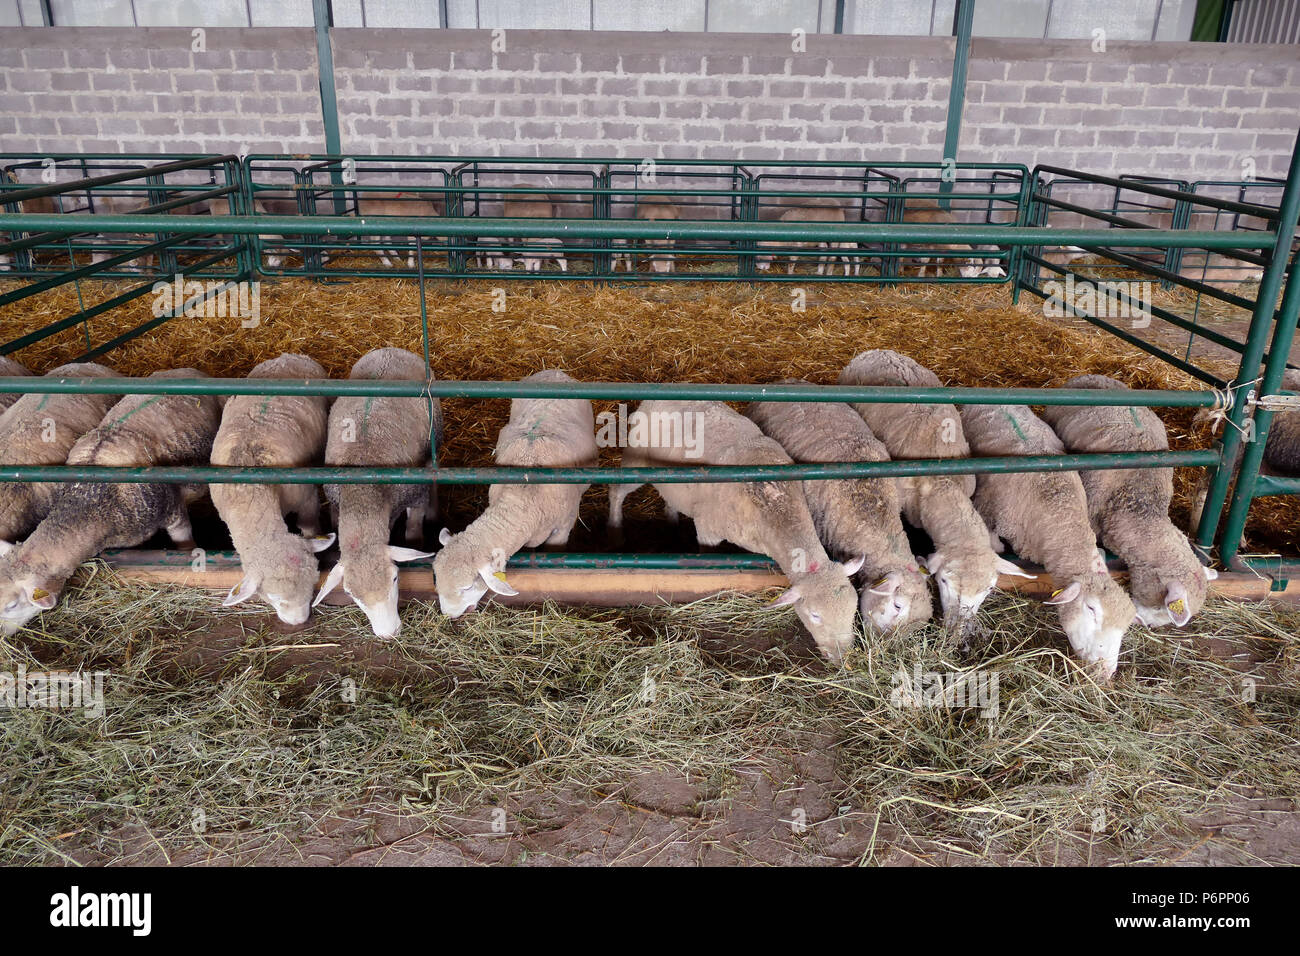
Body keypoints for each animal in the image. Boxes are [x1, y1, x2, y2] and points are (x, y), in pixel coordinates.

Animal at [210, 354, 334, 625]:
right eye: (274, 597)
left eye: (314, 581)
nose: (299, 622)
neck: (249, 496)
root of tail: (289, 356)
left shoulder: (307, 498)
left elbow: (309, 526)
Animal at [313, 348, 442, 637]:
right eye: (351, 593)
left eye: (395, 578)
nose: (389, 633)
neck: (364, 492)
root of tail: (390, 350)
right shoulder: (336, 503)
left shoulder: (415, 494)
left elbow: (414, 532)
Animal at [434, 370, 596, 618]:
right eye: (436, 580)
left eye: (467, 587)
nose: (448, 615)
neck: (521, 496)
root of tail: (554, 372)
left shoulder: (562, 529)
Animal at [607, 400, 863, 661]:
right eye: (815, 615)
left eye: (853, 610)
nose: (841, 658)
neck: (777, 506)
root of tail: (654, 399)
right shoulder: (707, 530)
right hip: (637, 461)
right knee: (616, 491)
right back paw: (615, 534)